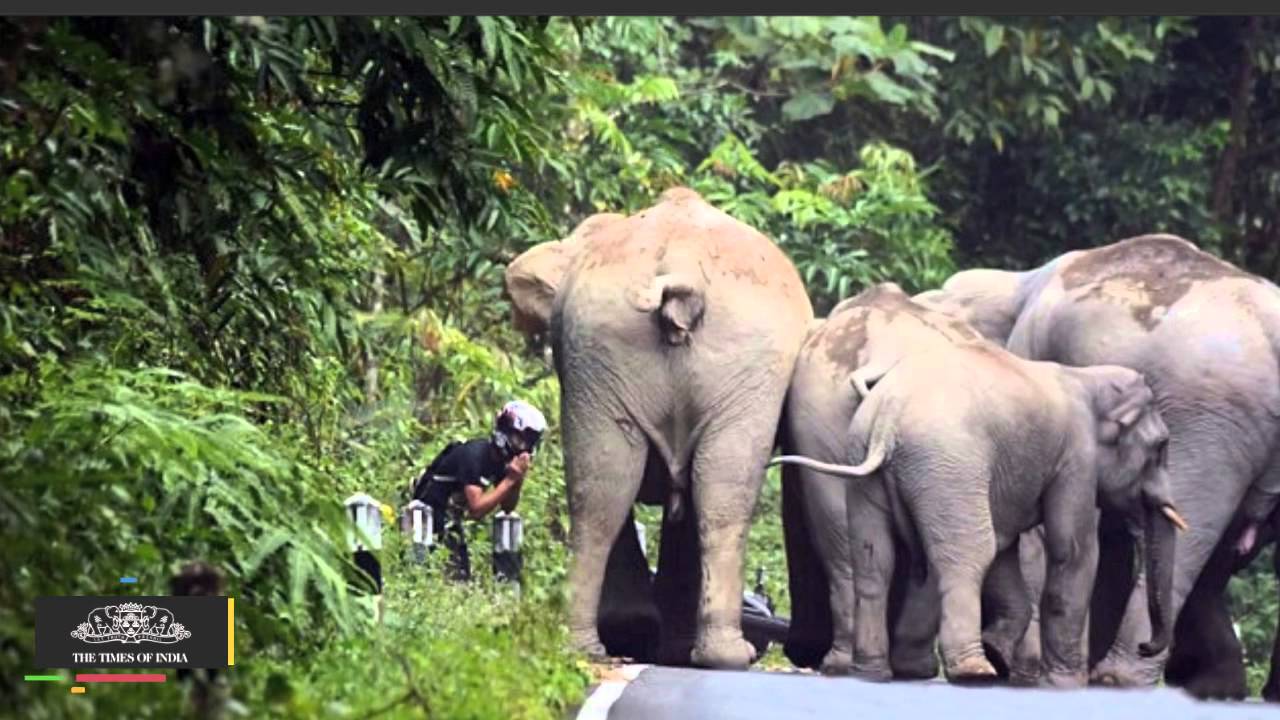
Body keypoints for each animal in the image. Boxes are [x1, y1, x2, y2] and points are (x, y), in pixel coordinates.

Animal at [503, 187, 814, 669]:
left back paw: (612, 645)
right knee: (689, 488)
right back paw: (704, 651)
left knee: (610, 487)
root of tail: (680, 269)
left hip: (619, 355)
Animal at [771, 341, 1186, 687]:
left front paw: (1002, 653)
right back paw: (973, 671)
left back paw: (874, 672)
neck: (1086, 377)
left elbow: (1006, 549)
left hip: (864, 461)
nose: (1145, 647)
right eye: (1161, 446)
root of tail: (888, 414)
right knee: (968, 554)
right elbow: (1072, 551)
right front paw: (1064, 684)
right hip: (948, 465)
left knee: (875, 560)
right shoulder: (1075, 459)